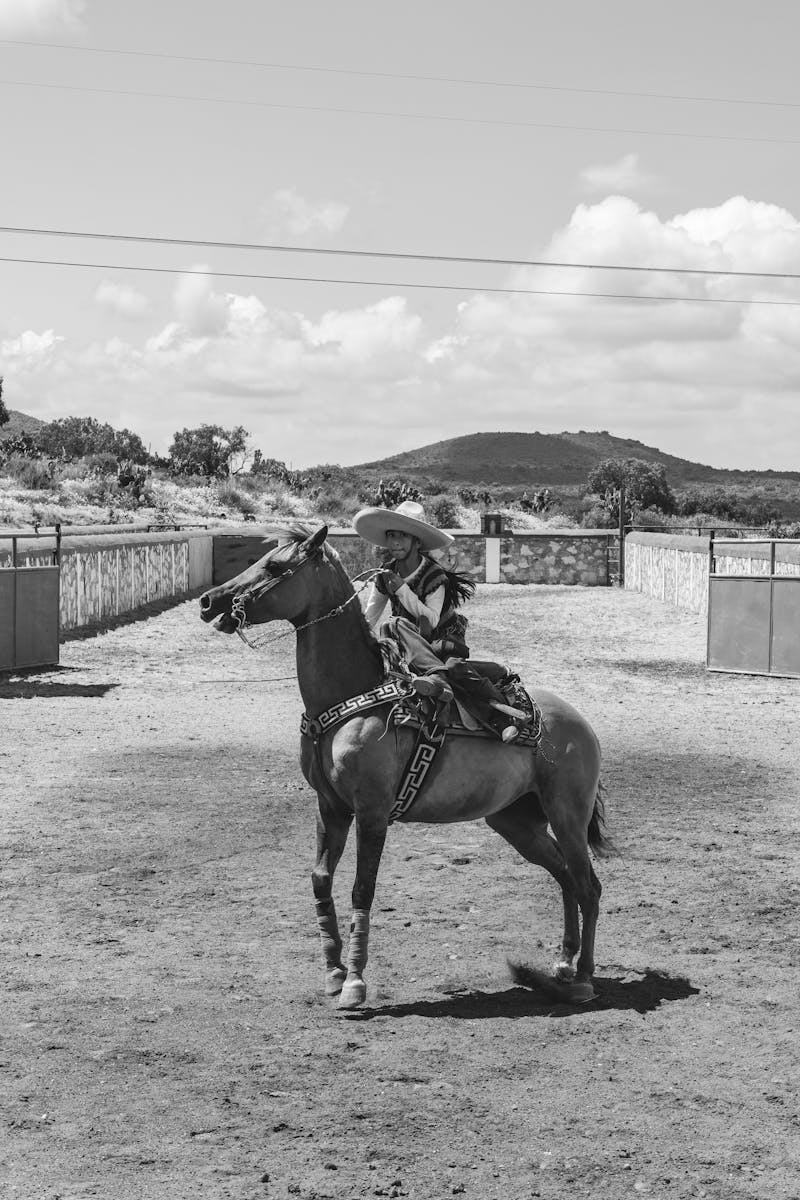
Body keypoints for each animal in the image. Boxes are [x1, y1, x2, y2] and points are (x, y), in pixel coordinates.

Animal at [199, 523, 612, 1010]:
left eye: (276, 566)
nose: (208, 602)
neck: (351, 695)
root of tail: (578, 721)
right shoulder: (330, 807)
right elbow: (321, 880)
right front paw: (333, 973)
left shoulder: (372, 812)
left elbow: (362, 888)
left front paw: (355, 983)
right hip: (517, 822)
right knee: (566, 877)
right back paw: (563, 963)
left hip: (567, 815)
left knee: (588, 884)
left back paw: (583, 978)